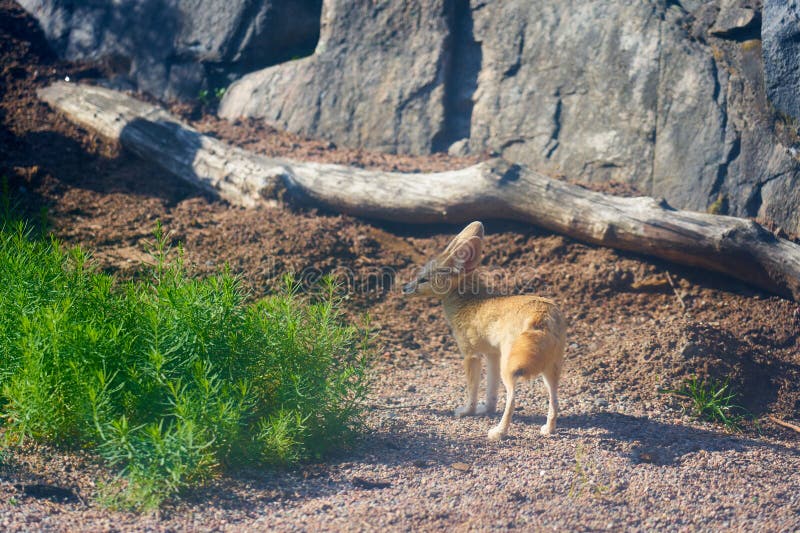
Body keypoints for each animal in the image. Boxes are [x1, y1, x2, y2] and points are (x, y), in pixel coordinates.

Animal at [403, 221, 567, 441]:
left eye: (422, 280)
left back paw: (499, 432)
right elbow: (491, 391)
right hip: (549, 370)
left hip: (512, 368)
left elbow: (472, 390)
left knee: (512, 400)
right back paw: (549, 429)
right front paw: (486, 410)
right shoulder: (492, 355)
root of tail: (542, 314)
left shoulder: (471, 355)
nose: (404, 288)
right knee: (555, 401)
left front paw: (468, 411)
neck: (468, 301)